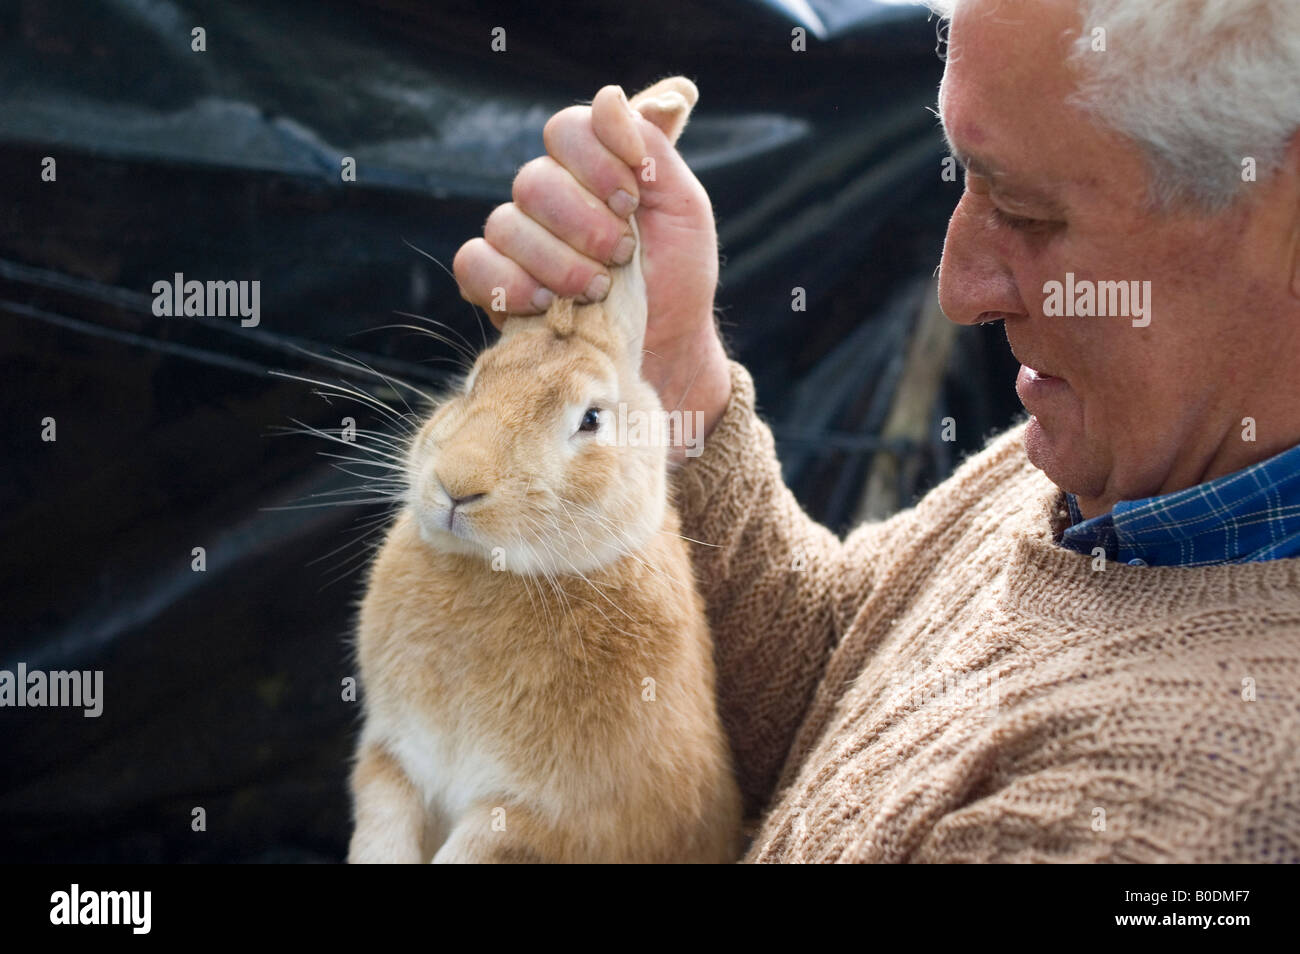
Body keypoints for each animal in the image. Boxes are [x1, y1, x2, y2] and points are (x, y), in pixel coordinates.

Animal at [347, 77, 743, 864]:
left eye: (590, 420)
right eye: (474, 381)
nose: (457, 487)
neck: (497, 573)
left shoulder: (538, 820)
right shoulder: (392, 762)